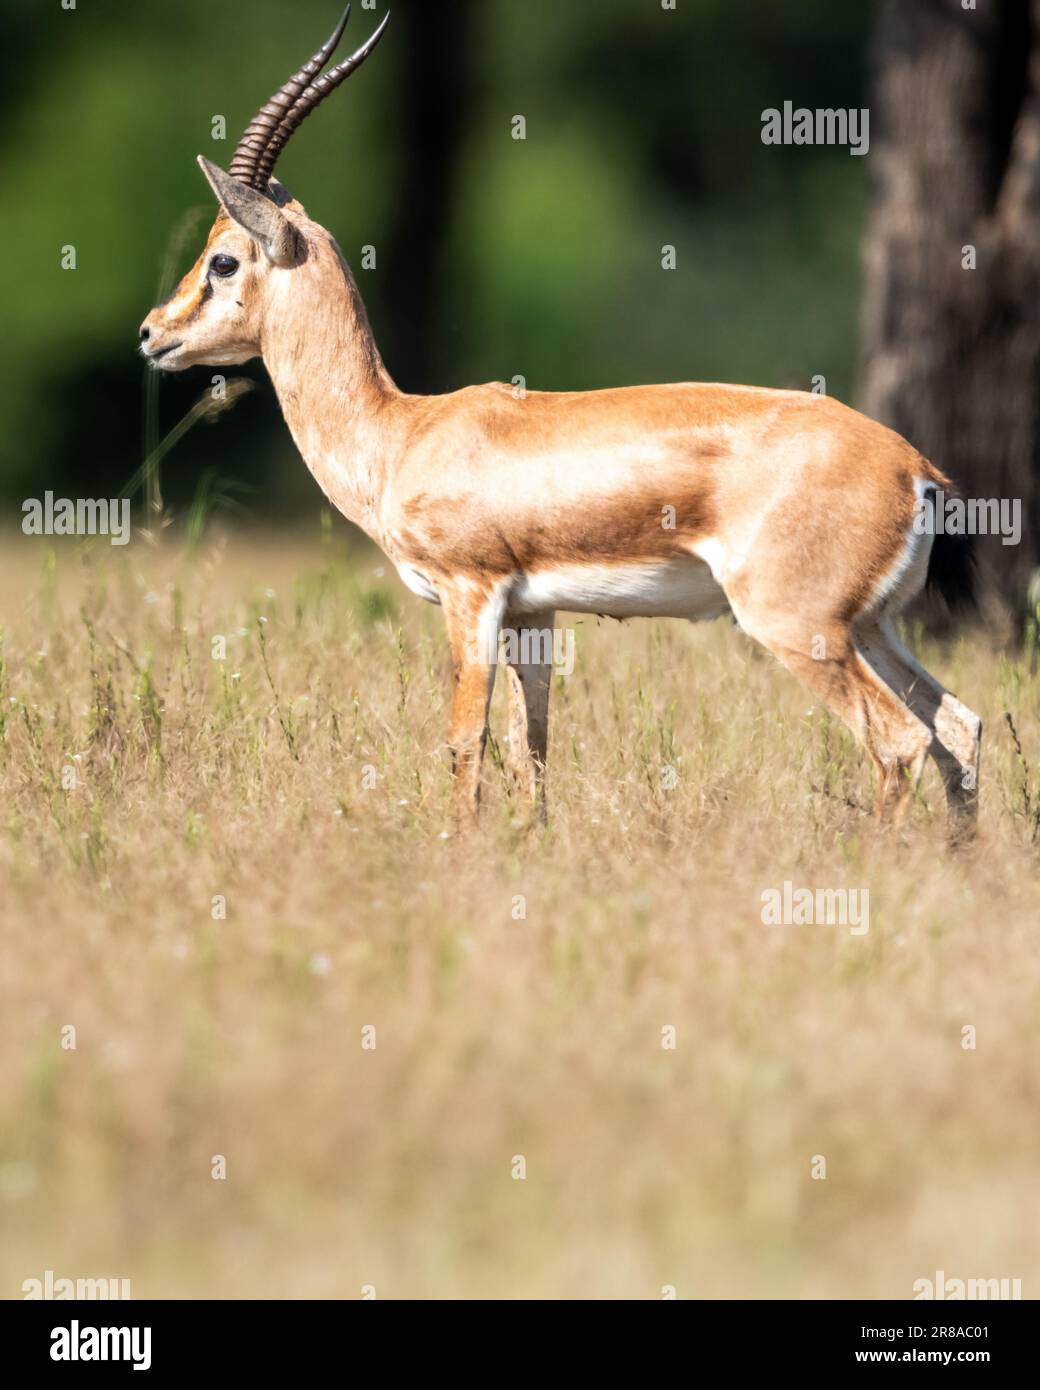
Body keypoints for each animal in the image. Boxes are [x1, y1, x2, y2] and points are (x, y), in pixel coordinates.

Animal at [140, 5, 982, 839]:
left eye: (223, 259)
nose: (152, 333)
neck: (400, 432)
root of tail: (914, 468)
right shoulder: (532, 614)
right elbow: (531, 744)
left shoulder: (471, 593)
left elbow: (466, 738)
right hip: (871, 627)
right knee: (959, 725)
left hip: (798, 626)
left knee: (899, 740)